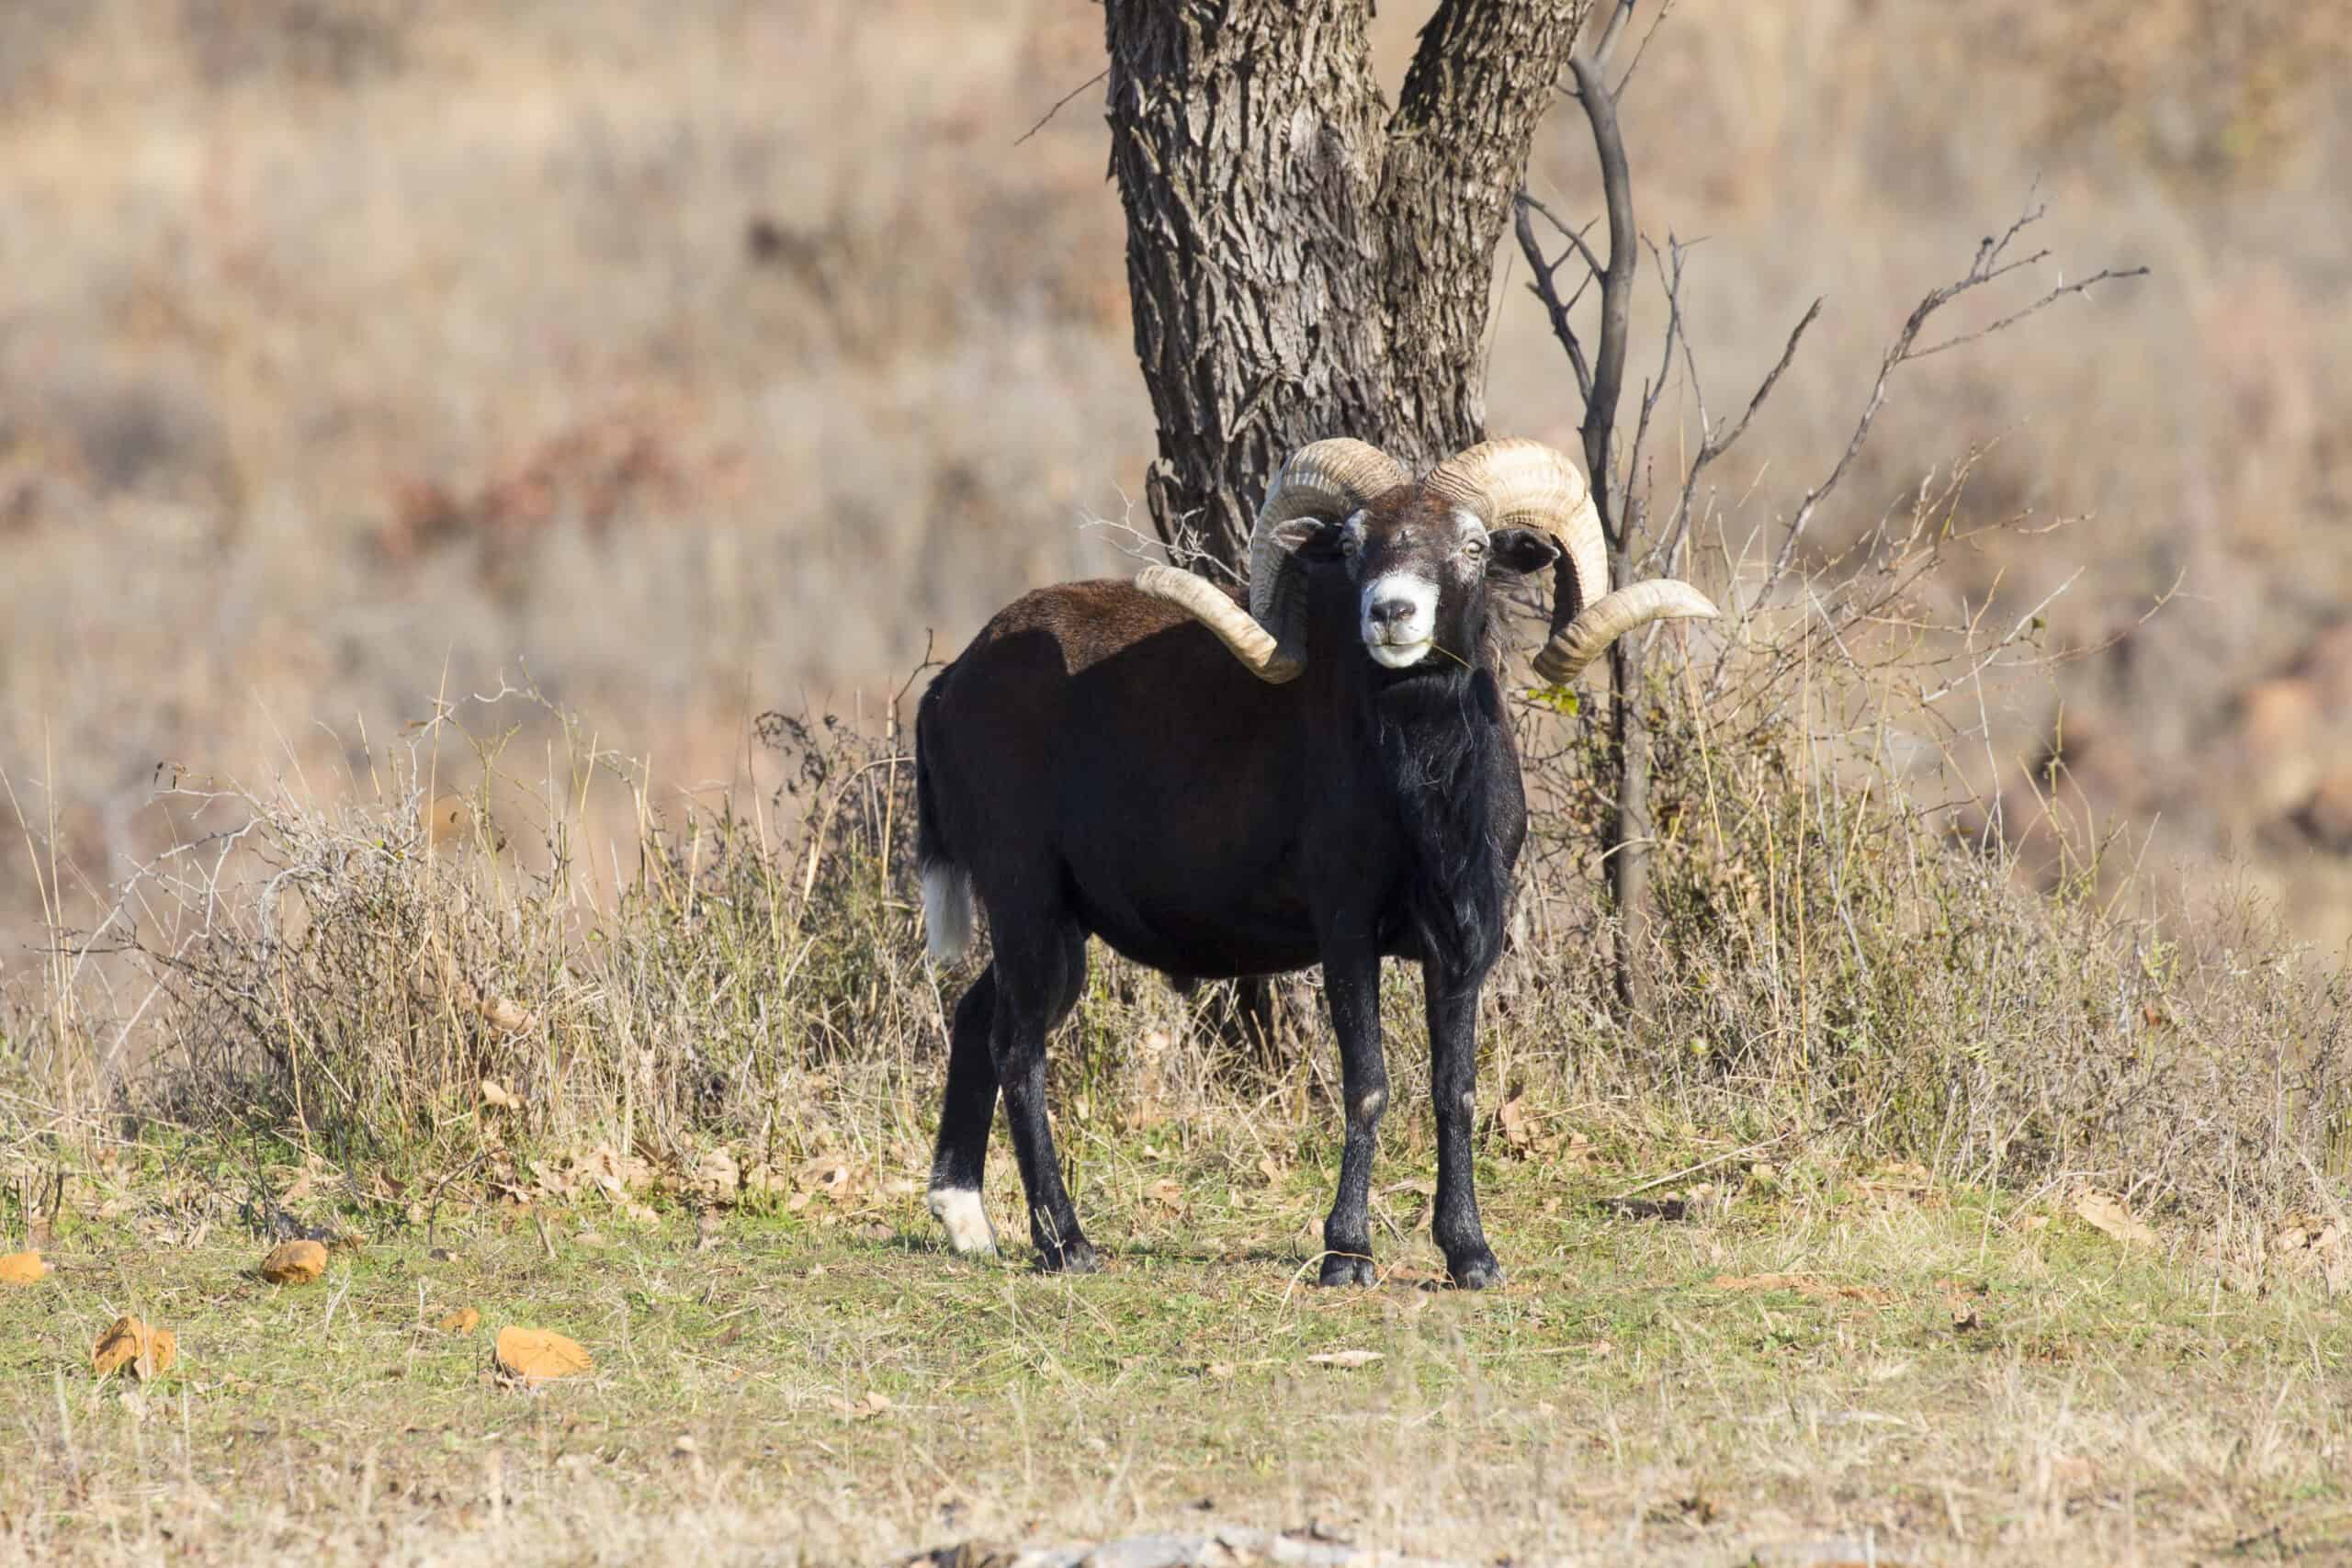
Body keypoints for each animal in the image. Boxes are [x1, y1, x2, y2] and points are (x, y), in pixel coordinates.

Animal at [913, 438, 1715, 1286]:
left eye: (1472, 545)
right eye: (1357, 544)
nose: (1391, 612)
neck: (1422, 788)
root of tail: (950, 686)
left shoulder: (1462, 945)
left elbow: (1455, 1090)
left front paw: (1471, 1255)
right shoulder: (1346, 933)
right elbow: (1367, 1086)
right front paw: (1348, 1255)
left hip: (1057, 930)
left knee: (979, 1019)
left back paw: (967, 1223)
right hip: (1026, 904)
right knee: (1018, 1050)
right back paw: (1066, 1244)